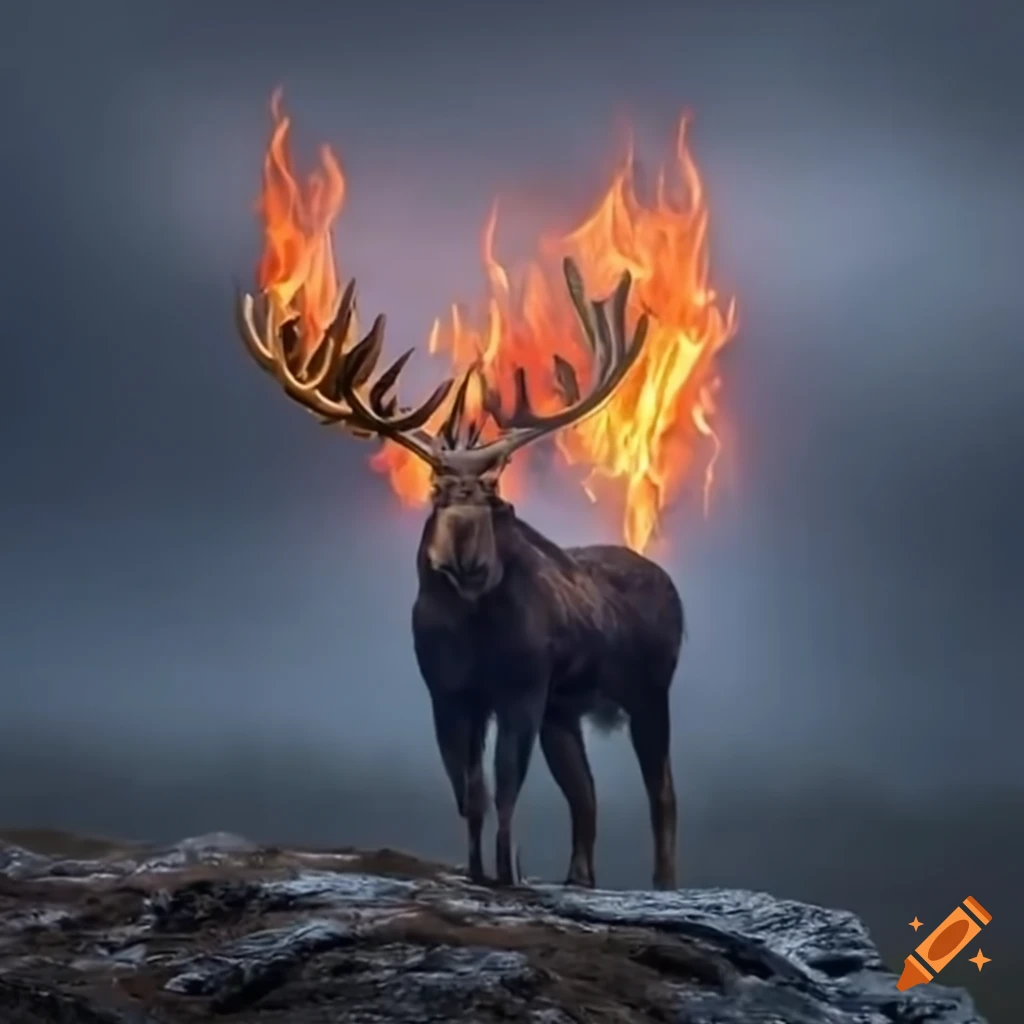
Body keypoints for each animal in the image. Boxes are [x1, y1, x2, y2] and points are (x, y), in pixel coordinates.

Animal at [235, 258, 685, 890]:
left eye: (492, 486)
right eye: (437, 486)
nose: (461, 556)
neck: (473, 630)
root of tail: (669, 582)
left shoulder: (521, 687)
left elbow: (506, 788)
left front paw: (508, 874)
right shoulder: (447, 692)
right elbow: (470, 792)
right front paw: (477, 871)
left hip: (648, 687)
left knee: (661, 792)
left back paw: (664, 883)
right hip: (565, 710)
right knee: (586, 795)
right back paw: (578, 878)